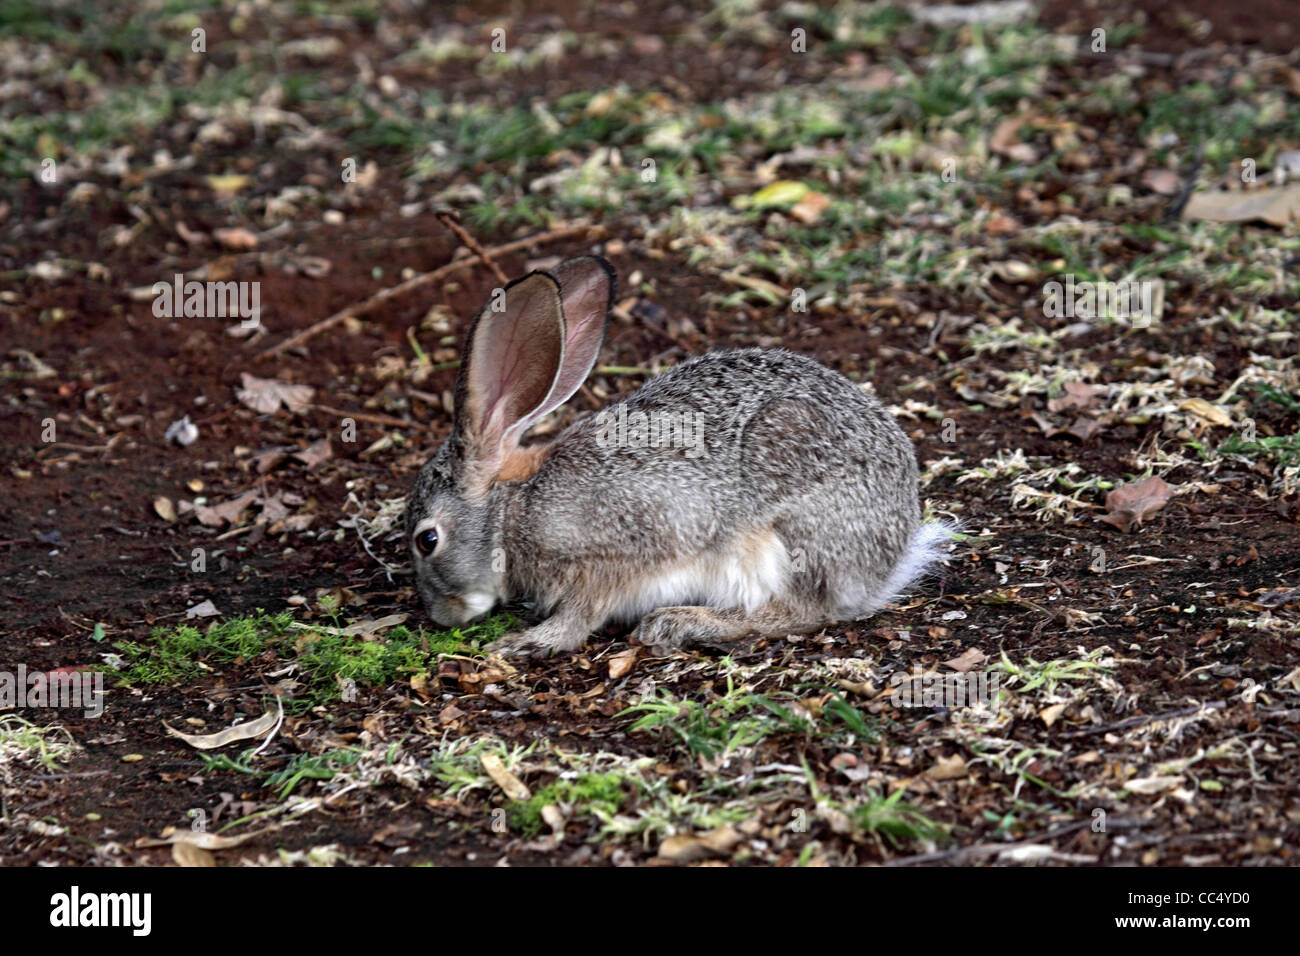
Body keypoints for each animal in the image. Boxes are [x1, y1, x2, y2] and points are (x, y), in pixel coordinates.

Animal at [405, 254, 953, 658]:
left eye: (426, 540)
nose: (441, 616)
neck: (514, 508)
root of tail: (890, 557)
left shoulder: (612, 556)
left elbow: (583, 613)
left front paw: (530, 642)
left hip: (787, 537)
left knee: (802, 612)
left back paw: (682, 623)